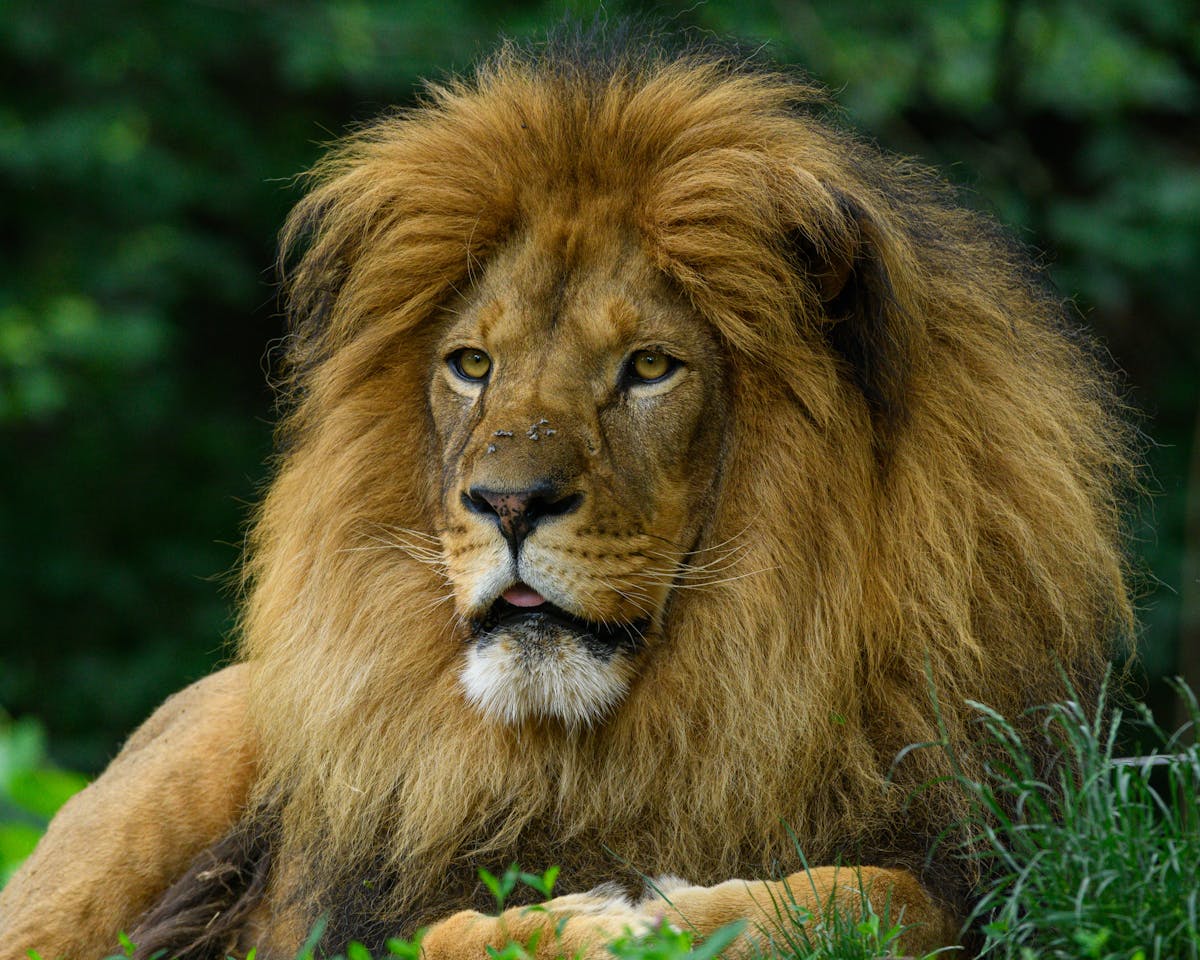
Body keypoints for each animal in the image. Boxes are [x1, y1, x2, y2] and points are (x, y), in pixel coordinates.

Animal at [0, 28, 1134, 960]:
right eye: (471, 365)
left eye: (649, 368)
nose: (507, 504)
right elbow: (451, 934)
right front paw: (598, 921)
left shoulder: (980, 863)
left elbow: (882, 896)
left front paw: (667, 916)